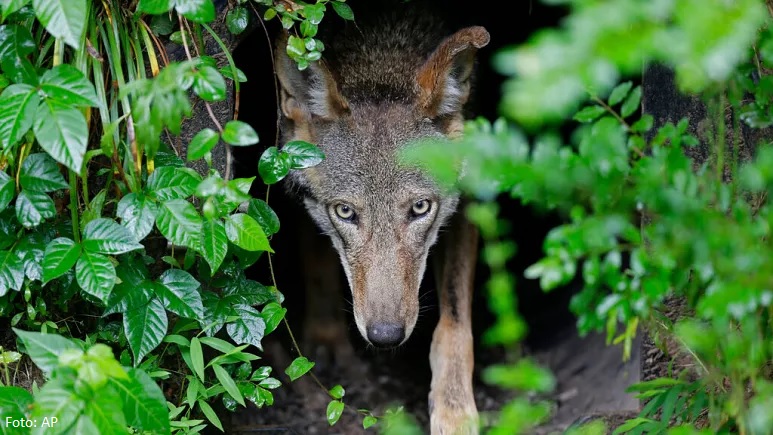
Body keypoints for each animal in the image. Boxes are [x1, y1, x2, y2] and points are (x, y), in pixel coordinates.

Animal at [274, 2, 489, 433]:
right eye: (345, 212)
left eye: (420, 208)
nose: (386, 336)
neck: (382, 50)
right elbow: (318, 264)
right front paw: (325, 339)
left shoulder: (466, 205)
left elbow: (454, 324)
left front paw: (454, 409)